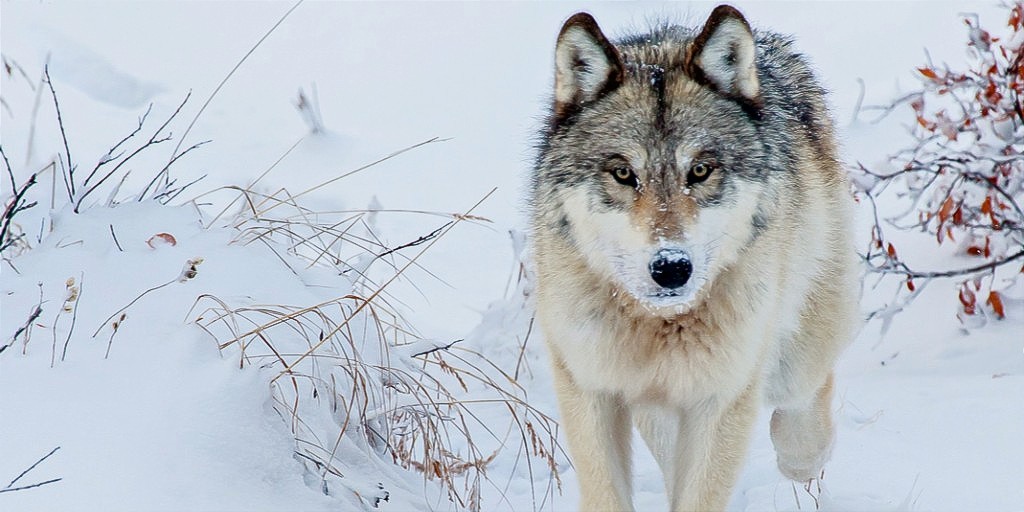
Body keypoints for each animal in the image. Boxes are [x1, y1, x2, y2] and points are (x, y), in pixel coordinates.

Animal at [529, 5, 860, 511]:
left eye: (700, 170)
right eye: (623, 173)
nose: (671, 268)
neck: (661, 325)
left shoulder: (720, 398)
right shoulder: (591, 388)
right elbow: (608, 492)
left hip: (792, 351)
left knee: (804, 396)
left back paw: (802, 459)